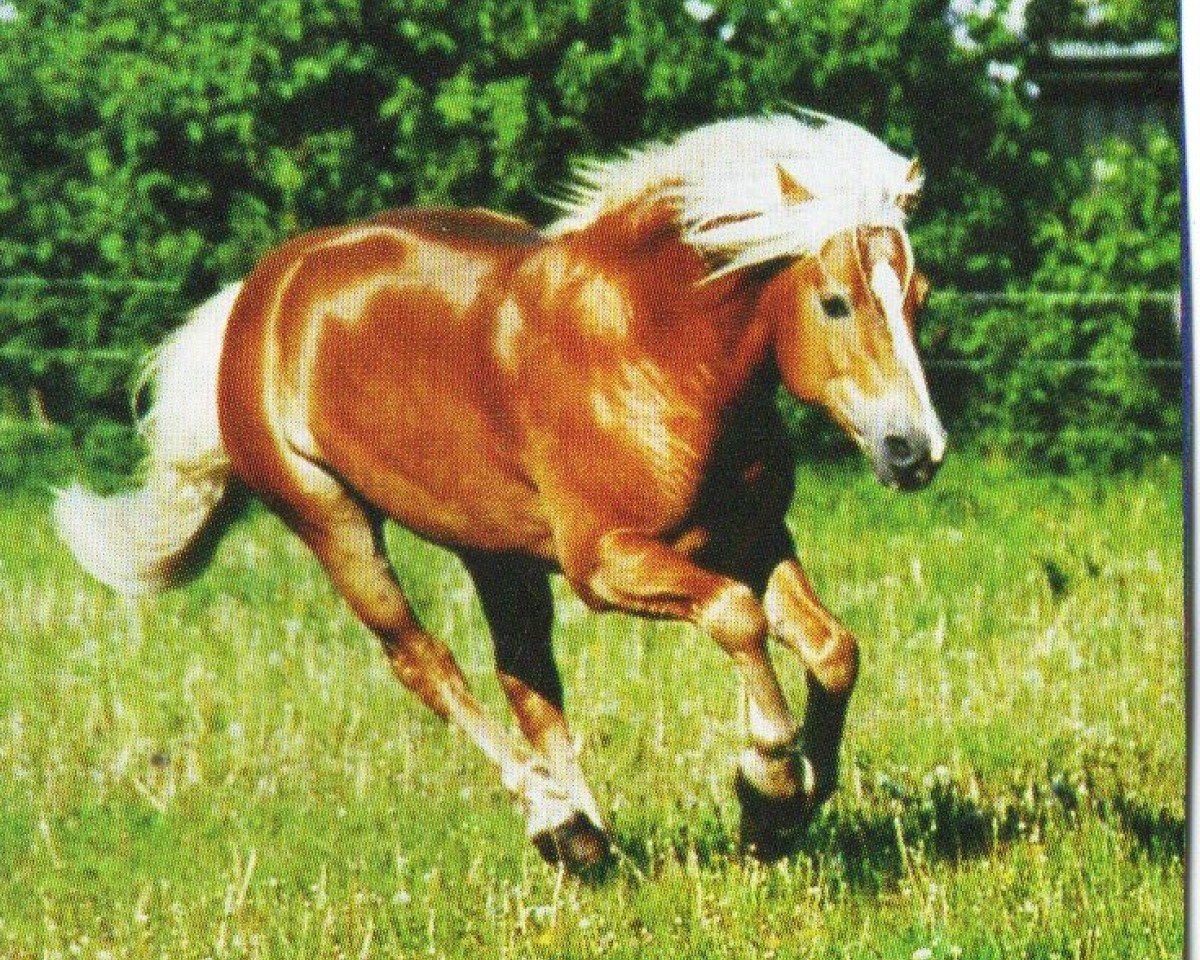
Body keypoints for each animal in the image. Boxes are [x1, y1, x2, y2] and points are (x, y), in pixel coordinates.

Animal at [55, 110, 946, 874]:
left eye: (919, 296)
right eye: (834, 301)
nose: (916, 451)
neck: (651, 348)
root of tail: (258, 294)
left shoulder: (754, 538)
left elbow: (832, 648)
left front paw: (788, 807)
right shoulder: (605, 564)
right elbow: (737, 616)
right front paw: (767, 782)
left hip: (494, 551)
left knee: (527, 676)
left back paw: (585, 839)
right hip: (333, 522)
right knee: (424, 662)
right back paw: (557, 820)